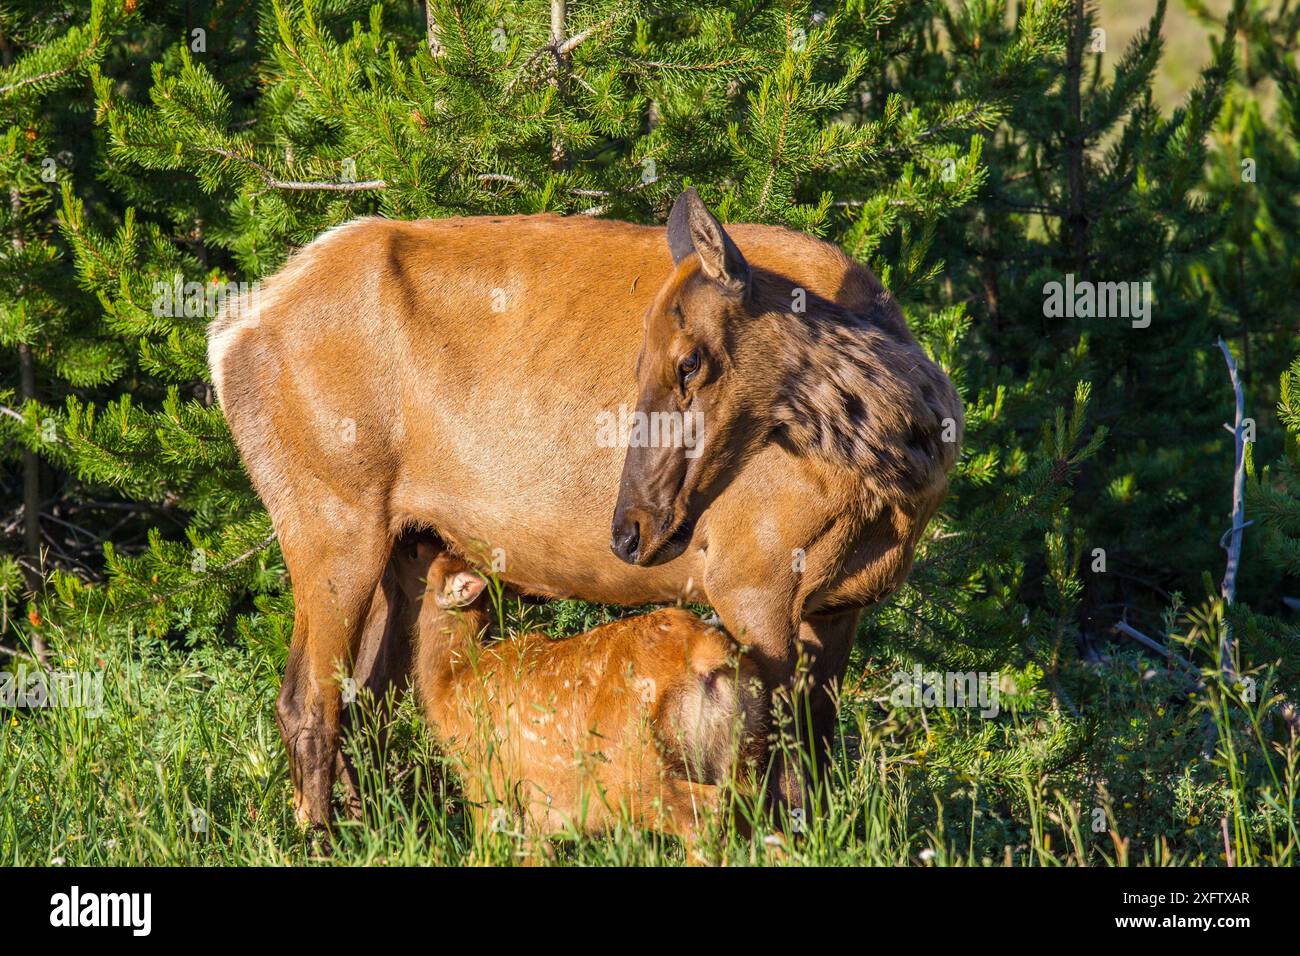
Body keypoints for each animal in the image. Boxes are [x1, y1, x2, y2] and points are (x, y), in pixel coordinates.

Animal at [389, 535, 764, 855]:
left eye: (416, 554)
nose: (408, 538)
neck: (452, 677)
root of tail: (706, 652)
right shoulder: (534, 812)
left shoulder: (487, 778)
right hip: (743, 756)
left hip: (631, 770)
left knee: (704, 813)